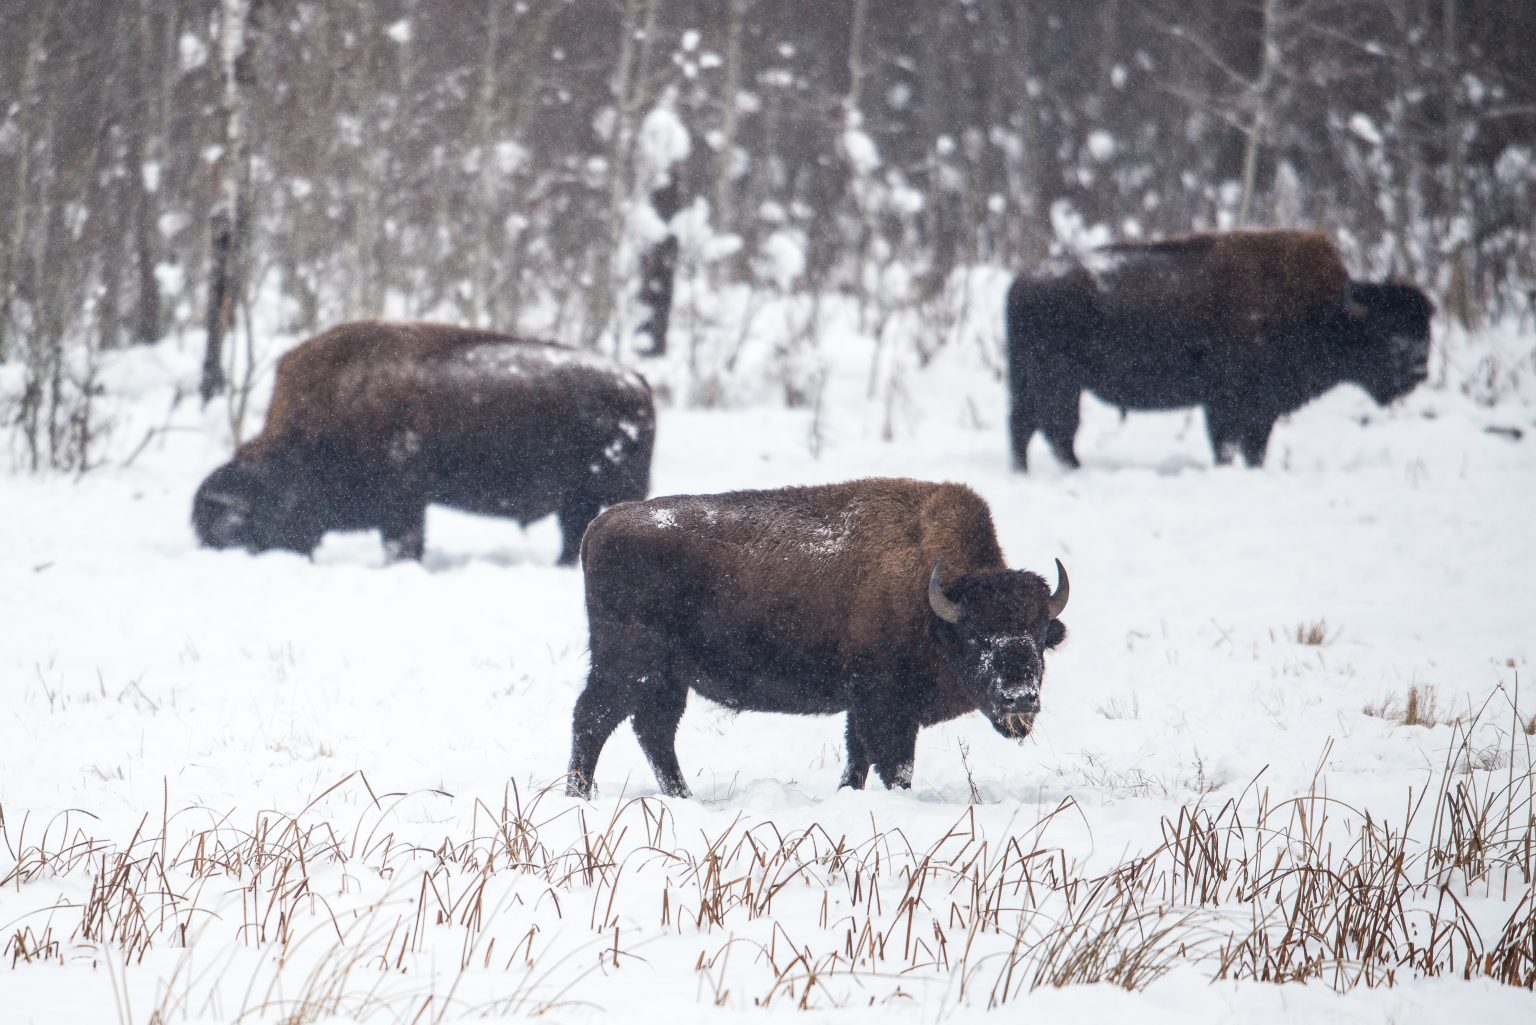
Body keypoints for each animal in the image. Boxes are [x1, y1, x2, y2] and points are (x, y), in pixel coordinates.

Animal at [193, 321, 655, 564]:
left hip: (612, 490)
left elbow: (403, 540)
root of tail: (636, 381)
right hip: (578, 499)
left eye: (242, 524)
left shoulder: (404, 502)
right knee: (572, 533)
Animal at [566, 478, 1069, 798]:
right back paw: (579, 796)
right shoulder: (887, 707)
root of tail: (600, 525)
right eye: (978, 637)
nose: (1021, 699)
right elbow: (894, 765)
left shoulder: (862, 707)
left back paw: (681, 796)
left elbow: (858, 759)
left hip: (667, 679)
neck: (935, 606)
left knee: (653, 731)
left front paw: (848, 792)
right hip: (628, 666)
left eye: (1038, 634)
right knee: (593, 718)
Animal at [1006, 230, 1434, 469]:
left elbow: (1252, 447)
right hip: (1059, 384)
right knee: (1056, 429)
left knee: (1025, 428)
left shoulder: (1258, 409)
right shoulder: (1231, 403)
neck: (1327, 311)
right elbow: (1230, 444)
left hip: (1033, 383)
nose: (1419, 370)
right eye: (1386, 330)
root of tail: (1022, 282)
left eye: (1425, 329)